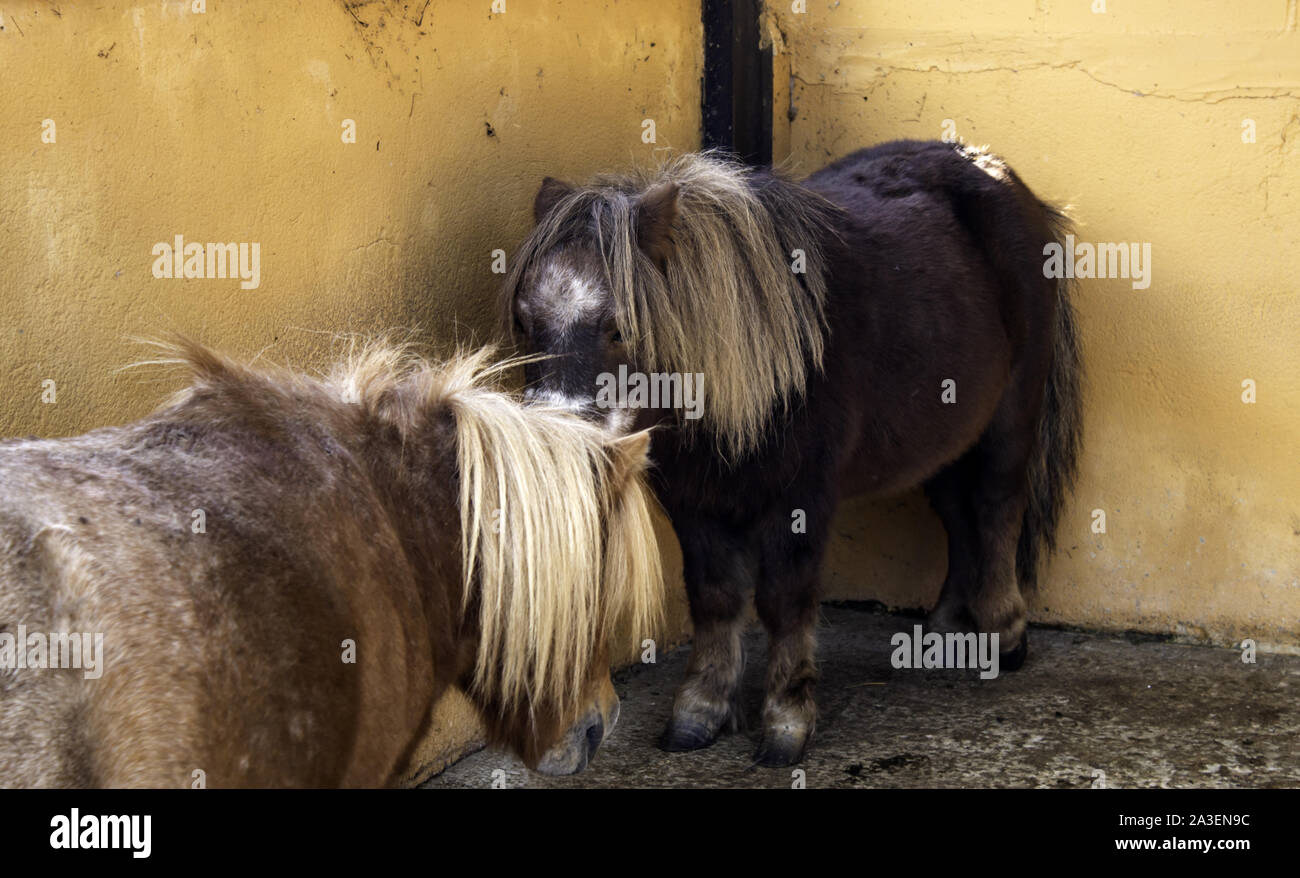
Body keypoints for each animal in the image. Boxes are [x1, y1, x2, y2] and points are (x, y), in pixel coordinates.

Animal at [503, 140, 1083, 766]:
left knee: (996, 509)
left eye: (618, 328)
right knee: (959, 519)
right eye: (526, 323)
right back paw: (943, 632)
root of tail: (1012, 185)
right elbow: (715, 598)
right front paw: (699, 714)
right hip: (948, 440)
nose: (557, 442)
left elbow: (785, 602)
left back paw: (1005, 636)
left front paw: (786, 723)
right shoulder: (693, 502)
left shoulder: (801, 499)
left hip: (1009, 420)